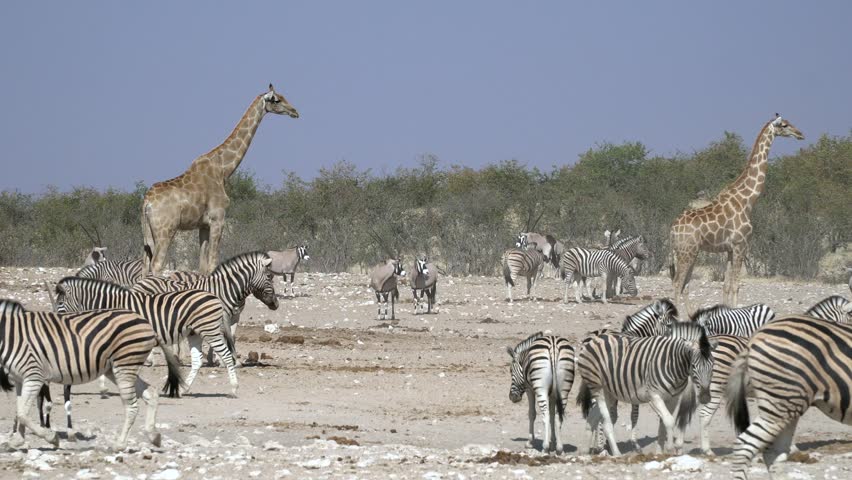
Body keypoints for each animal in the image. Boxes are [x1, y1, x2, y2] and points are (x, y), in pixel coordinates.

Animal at [142, 84, 299, 275]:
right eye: (276, 99)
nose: (295, 111)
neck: (223, 169)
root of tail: (147, 203)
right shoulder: (218, 219)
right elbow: (212, 264)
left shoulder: (203, 225)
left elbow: (202, 266)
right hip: (165, 230)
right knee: (157, 264)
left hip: (147, 235)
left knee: (144, 265)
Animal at [670, 114, 804, 312]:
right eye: (784, 125)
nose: (800, 134)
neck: (748, 199)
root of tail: (671, 229)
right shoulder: (741, 245)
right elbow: (736, 285)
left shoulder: (729, 249)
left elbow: (726, 286)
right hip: (686, 252)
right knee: (677, 284)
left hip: (688, 252)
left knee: (684, 285)